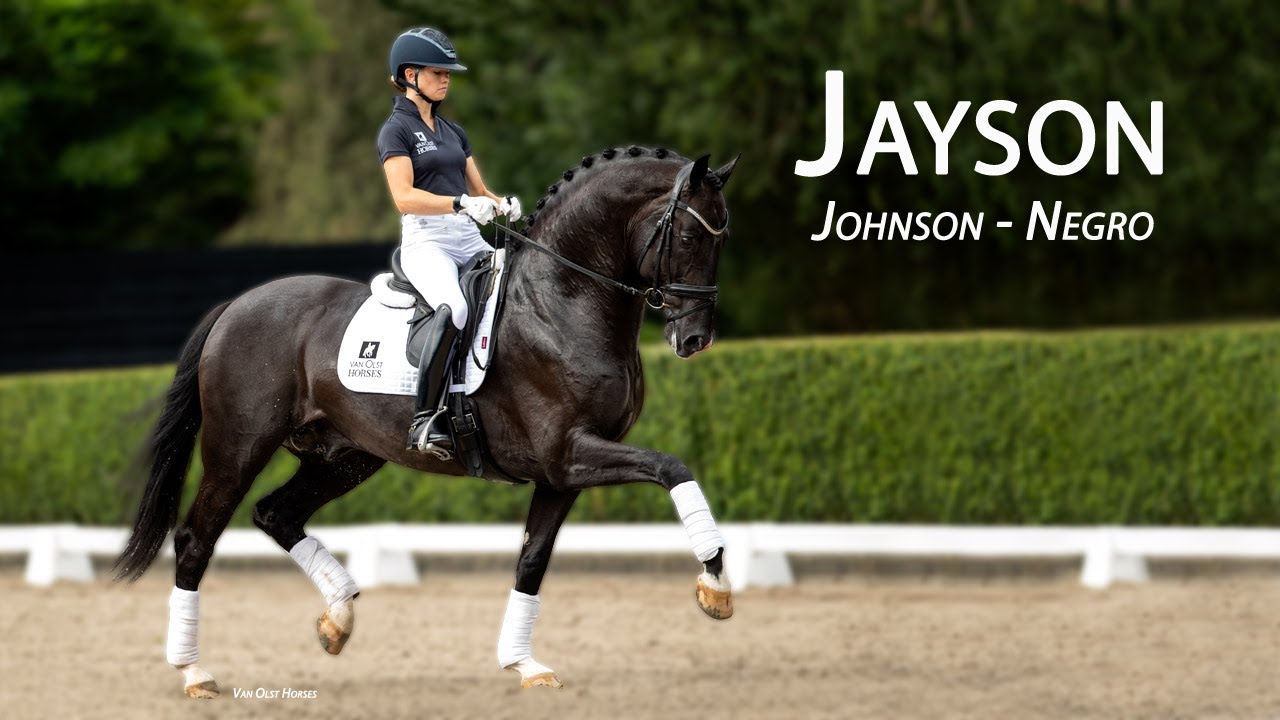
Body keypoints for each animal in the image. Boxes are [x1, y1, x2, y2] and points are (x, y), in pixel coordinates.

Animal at [112, 146, 739, 697]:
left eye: (724, 240)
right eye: (688, 237)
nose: (694, 340)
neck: (563, 299)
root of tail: (236, 306)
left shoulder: (562, 473)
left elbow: (532, 560)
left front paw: (524, 664)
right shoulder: (570, 451)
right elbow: (672, 467)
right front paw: (715, 584)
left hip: (346, 456)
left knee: (276, 513)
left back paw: (337, 618)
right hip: (238, 449)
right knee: (196, 540)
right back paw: (194, 673)